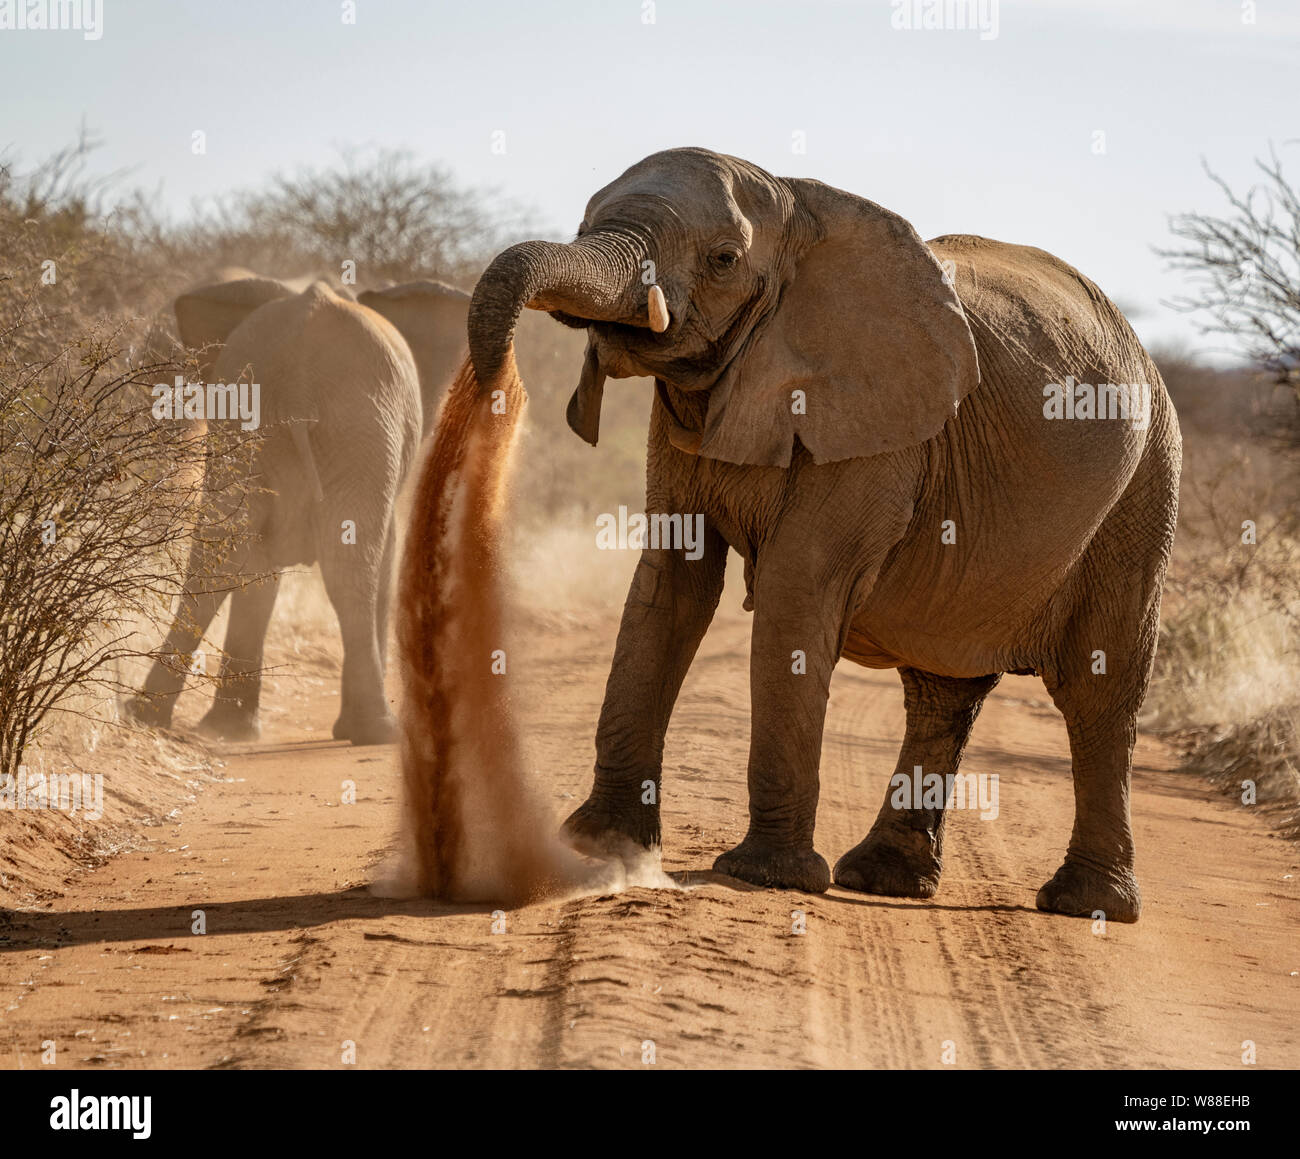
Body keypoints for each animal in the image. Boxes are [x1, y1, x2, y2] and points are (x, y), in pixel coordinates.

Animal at [125, 276, 469, 744]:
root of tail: (300, 374)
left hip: (262, 427)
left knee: (219, 558)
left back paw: (148, 715)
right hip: (360, 431)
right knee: (349, 571)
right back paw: (376, 731)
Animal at [462, 147, 1181, 921]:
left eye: (723, 258)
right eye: (581, 225)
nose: (494, 385)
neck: (798, 212)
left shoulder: (878, 419)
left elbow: (795, 584)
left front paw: (765, 876)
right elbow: (670, 583)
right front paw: (601, 848)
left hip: (1145, 489)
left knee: (1098, 686)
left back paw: (1085, 904)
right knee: (941, 690)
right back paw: (883, 878)